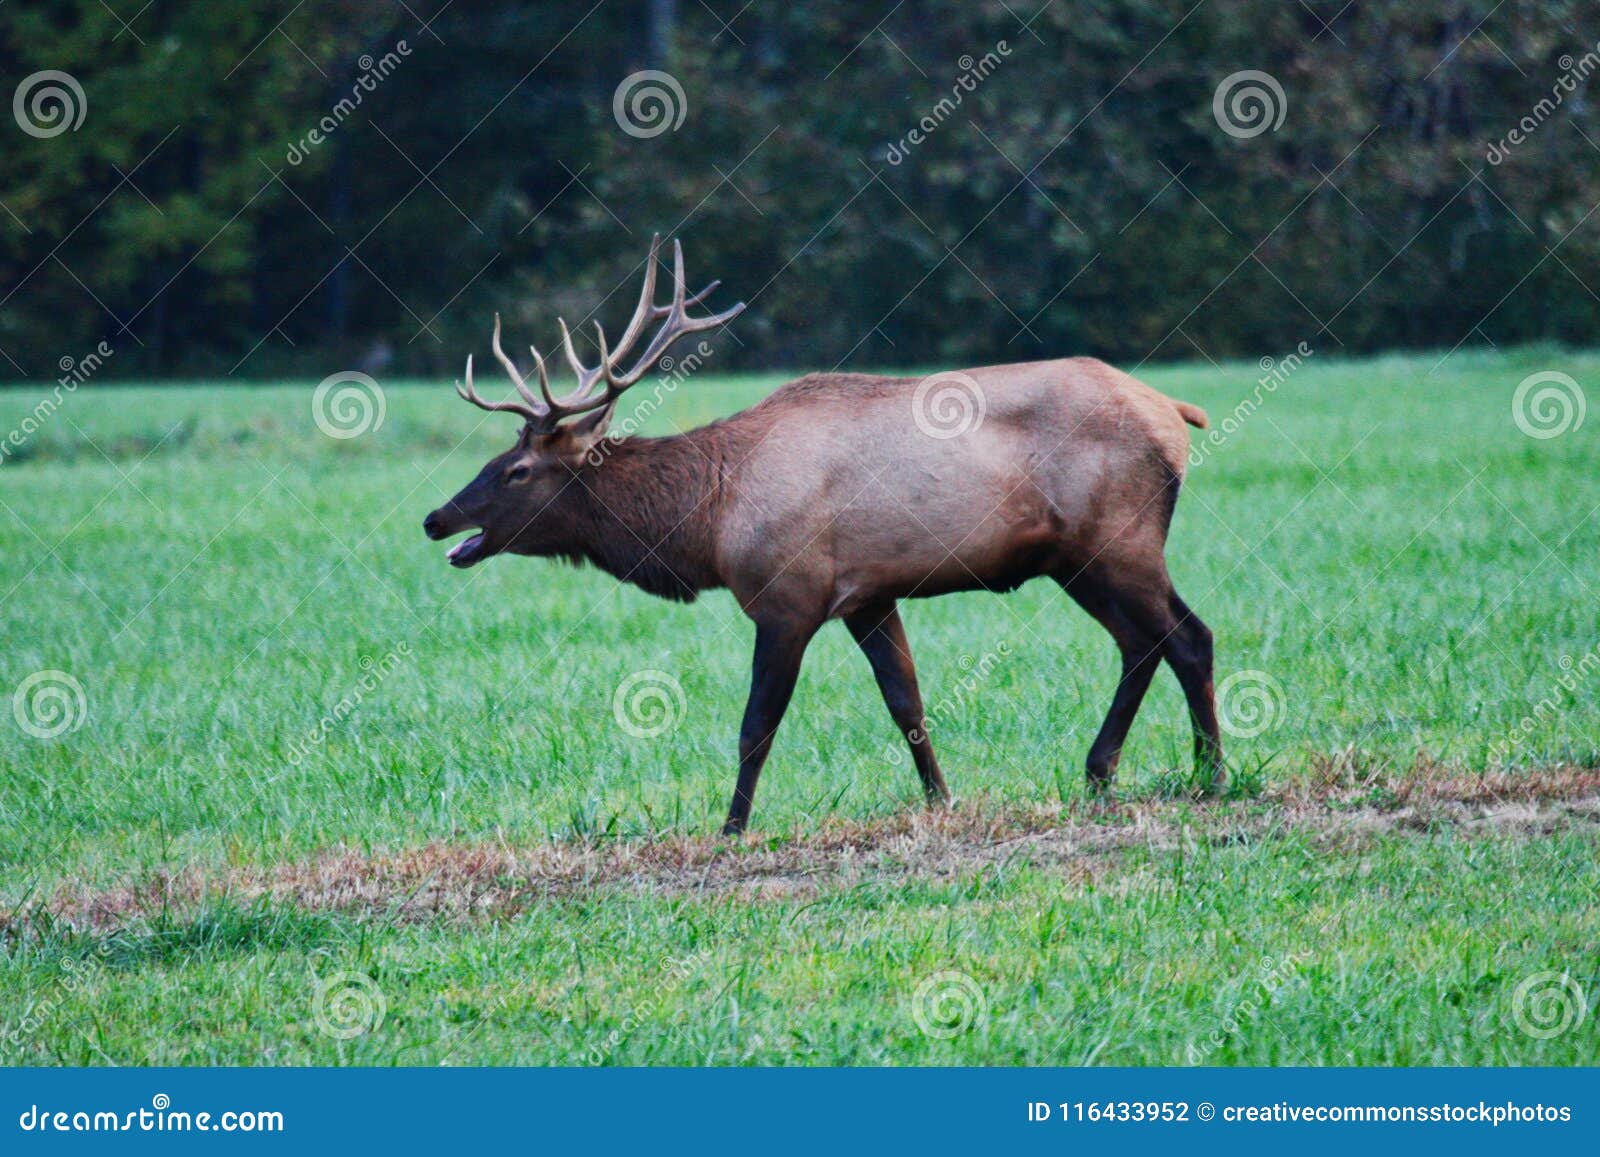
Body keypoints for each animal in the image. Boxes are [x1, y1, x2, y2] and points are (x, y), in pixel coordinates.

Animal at [423, 236, 1224, 835]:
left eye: (517, 469)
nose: (437, 518)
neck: (709, 520)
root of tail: (1176, 412)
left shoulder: (789, 597)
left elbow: (757, 725)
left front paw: (732, 827)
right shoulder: (868, 597)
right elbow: (908, 705)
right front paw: (942, 800)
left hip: (1118, 540)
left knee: (1188, 635)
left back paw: (1209, 773)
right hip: (1076, 559)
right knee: (1142, 642)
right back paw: (1101, 772)